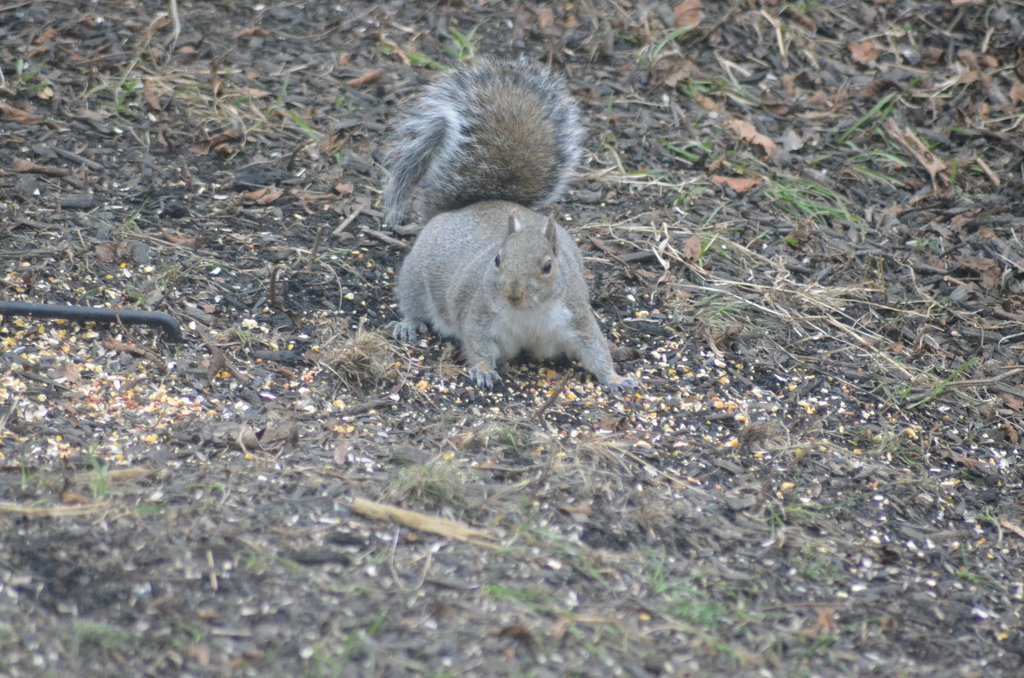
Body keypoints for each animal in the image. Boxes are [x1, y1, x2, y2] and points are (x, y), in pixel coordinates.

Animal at [384, 59, 636, 392]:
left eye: (548, 266)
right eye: (497, 259)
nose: (513, 294)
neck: (528, 312)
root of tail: (465, 207)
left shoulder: (577, 318)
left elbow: (595, 349)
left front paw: (616, 378)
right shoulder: (479, 314)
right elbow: (477, 344)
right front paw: (483, 371)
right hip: (415, 276)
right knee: (412, 302)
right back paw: (409, 324)